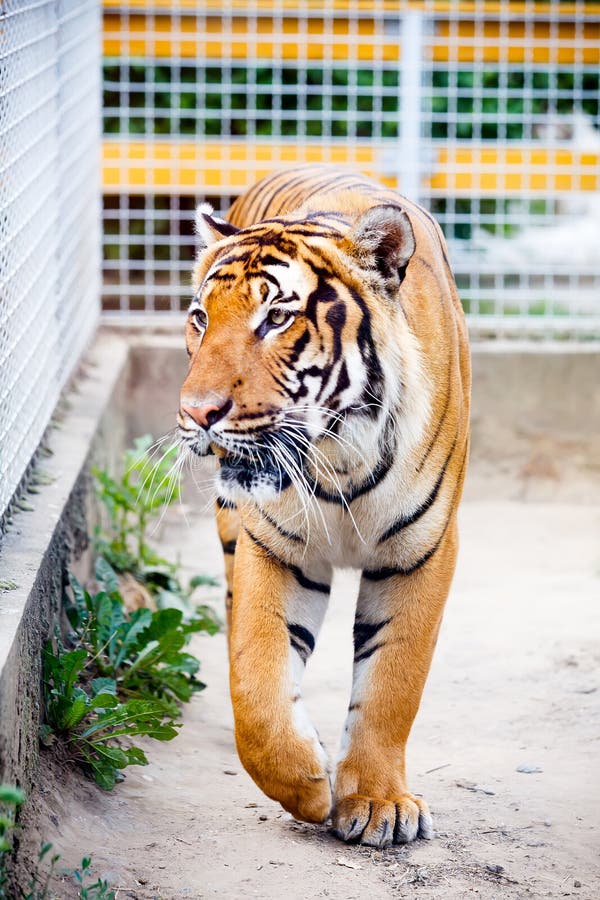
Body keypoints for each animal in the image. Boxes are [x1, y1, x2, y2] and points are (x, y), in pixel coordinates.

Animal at [177, 164, 470, 848]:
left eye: (276, 319)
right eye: (201, 317)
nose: (197, 414)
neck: (340, 456)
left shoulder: (421, 552)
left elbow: (393, 684)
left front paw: (379, 803)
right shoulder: (274, 545)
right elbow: (257, 678)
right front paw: (308, 786)